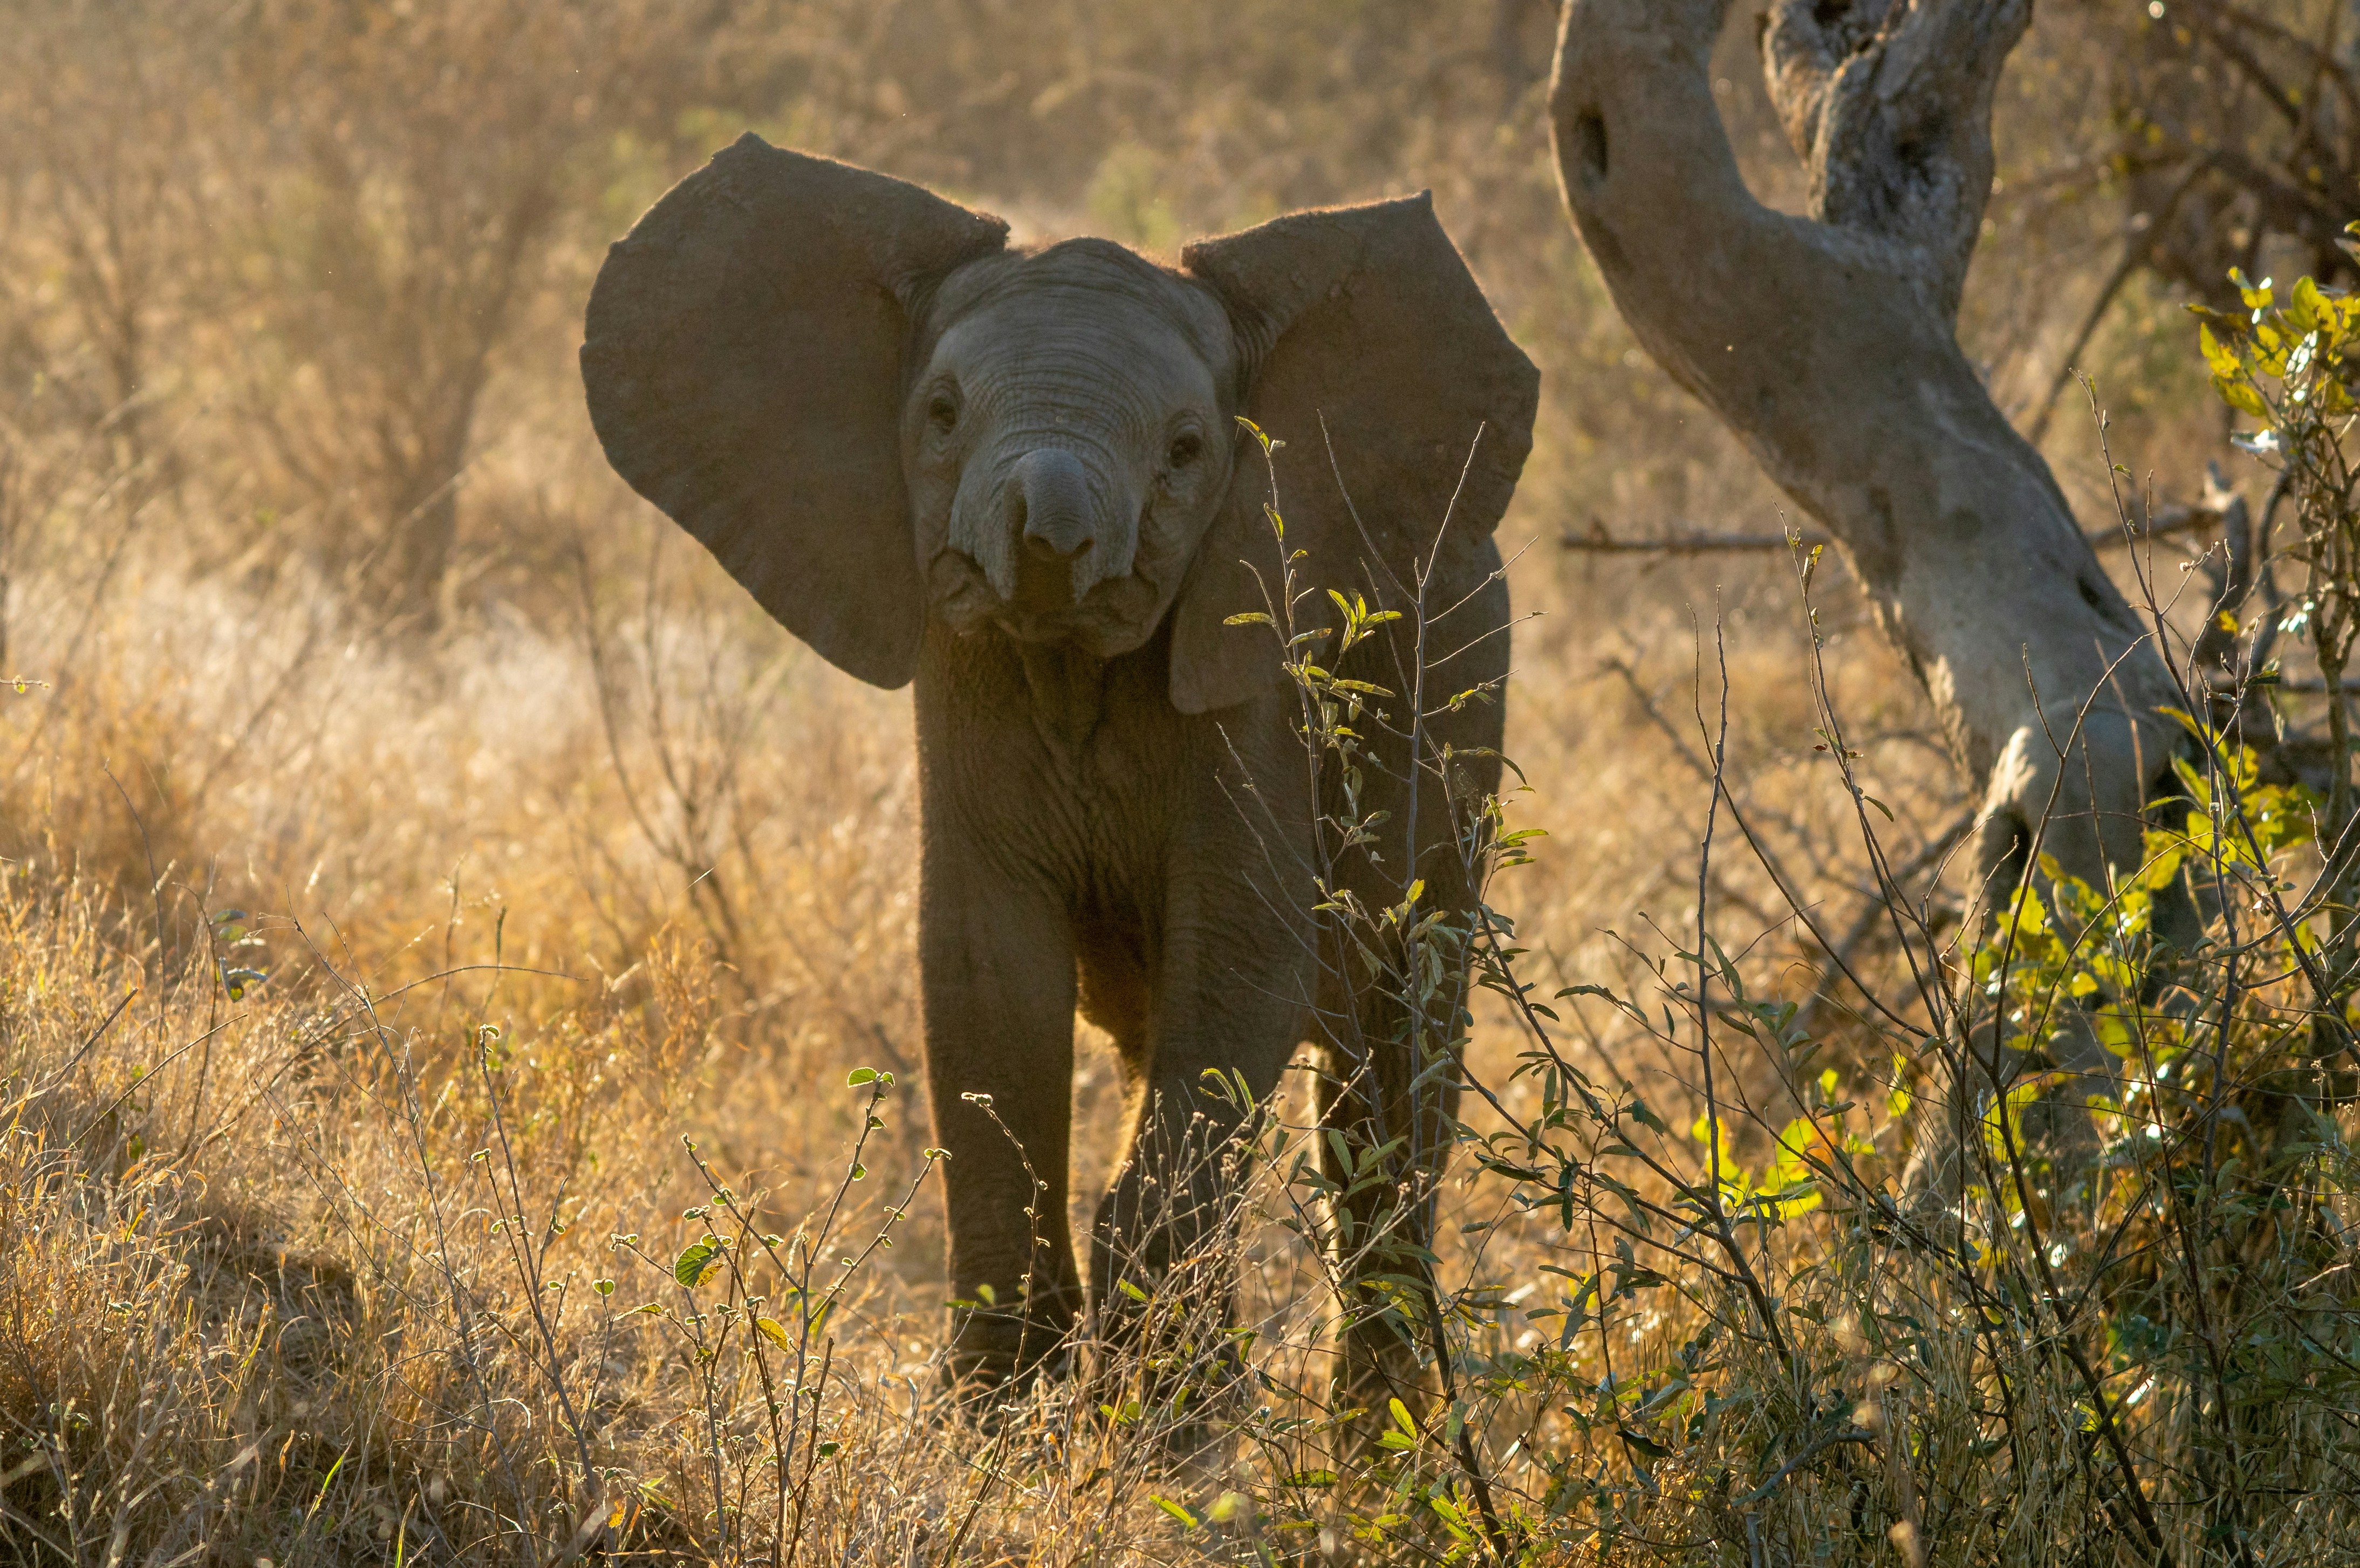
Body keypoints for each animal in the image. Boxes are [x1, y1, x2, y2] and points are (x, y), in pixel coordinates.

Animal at [579, 134, 1539, 1406]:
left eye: (1187, 451)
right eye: (940, 413)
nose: (1048, 539)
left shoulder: (1256, 670)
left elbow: (1242, 970)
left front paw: (1157, 1409)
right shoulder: (965, 675)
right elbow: (986, 972)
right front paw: (1013, 1402)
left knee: (1395, 1065)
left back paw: (1382, 1447)